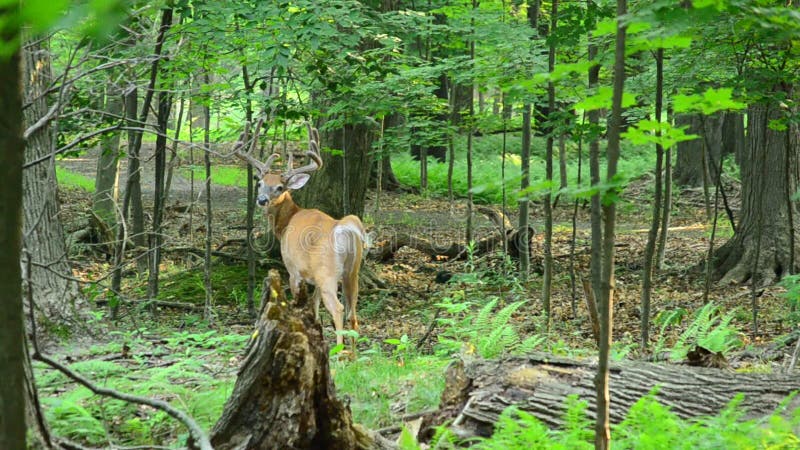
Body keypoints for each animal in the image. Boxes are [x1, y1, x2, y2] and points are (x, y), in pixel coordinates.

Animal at [233, 118, 366, 346]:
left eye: (279, 187)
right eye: (260, 183)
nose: (262, 200)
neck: (287, 222)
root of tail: (345, 231)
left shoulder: (294, 270)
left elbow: (299, 306)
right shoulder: (313, 277)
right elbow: (314, 307)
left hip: (328, 272)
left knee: (339, 309)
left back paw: (340, 352)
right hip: (352, 271)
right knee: (353, 315)